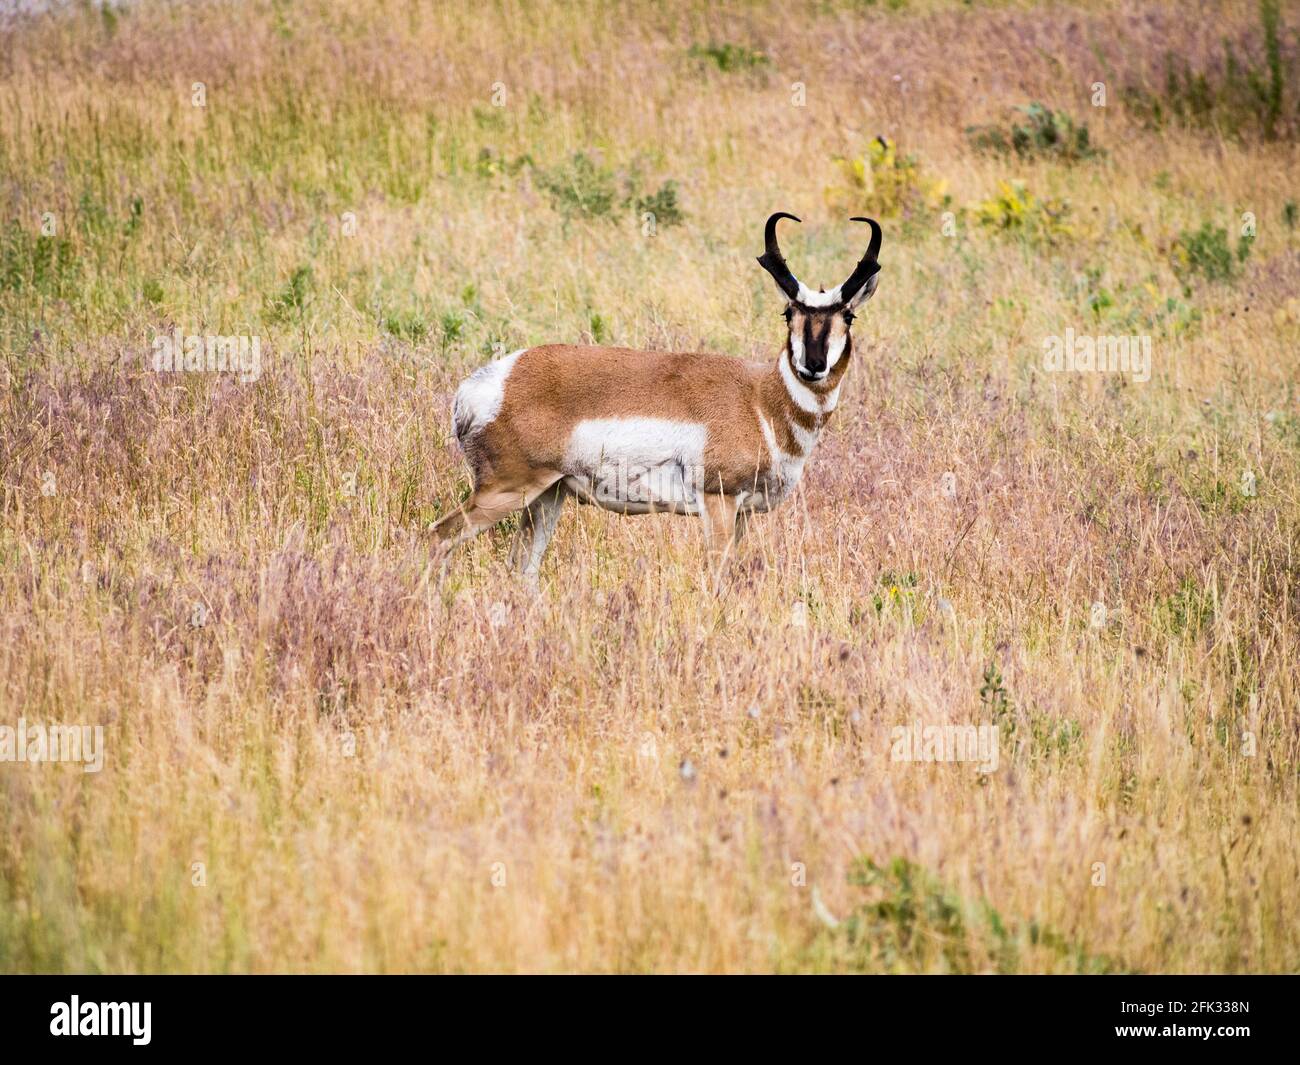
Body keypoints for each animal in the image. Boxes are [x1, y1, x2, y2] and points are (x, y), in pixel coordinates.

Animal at [431, 213, 883, 585]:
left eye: (848, 315)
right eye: (789, 313)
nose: (813, 365)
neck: (760, 399)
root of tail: (483, 385)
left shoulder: (743, 513)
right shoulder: (718, 501)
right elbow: (718, 577)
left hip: (546, 497)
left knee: (522, 568)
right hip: (507, 490)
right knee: (440, 535)